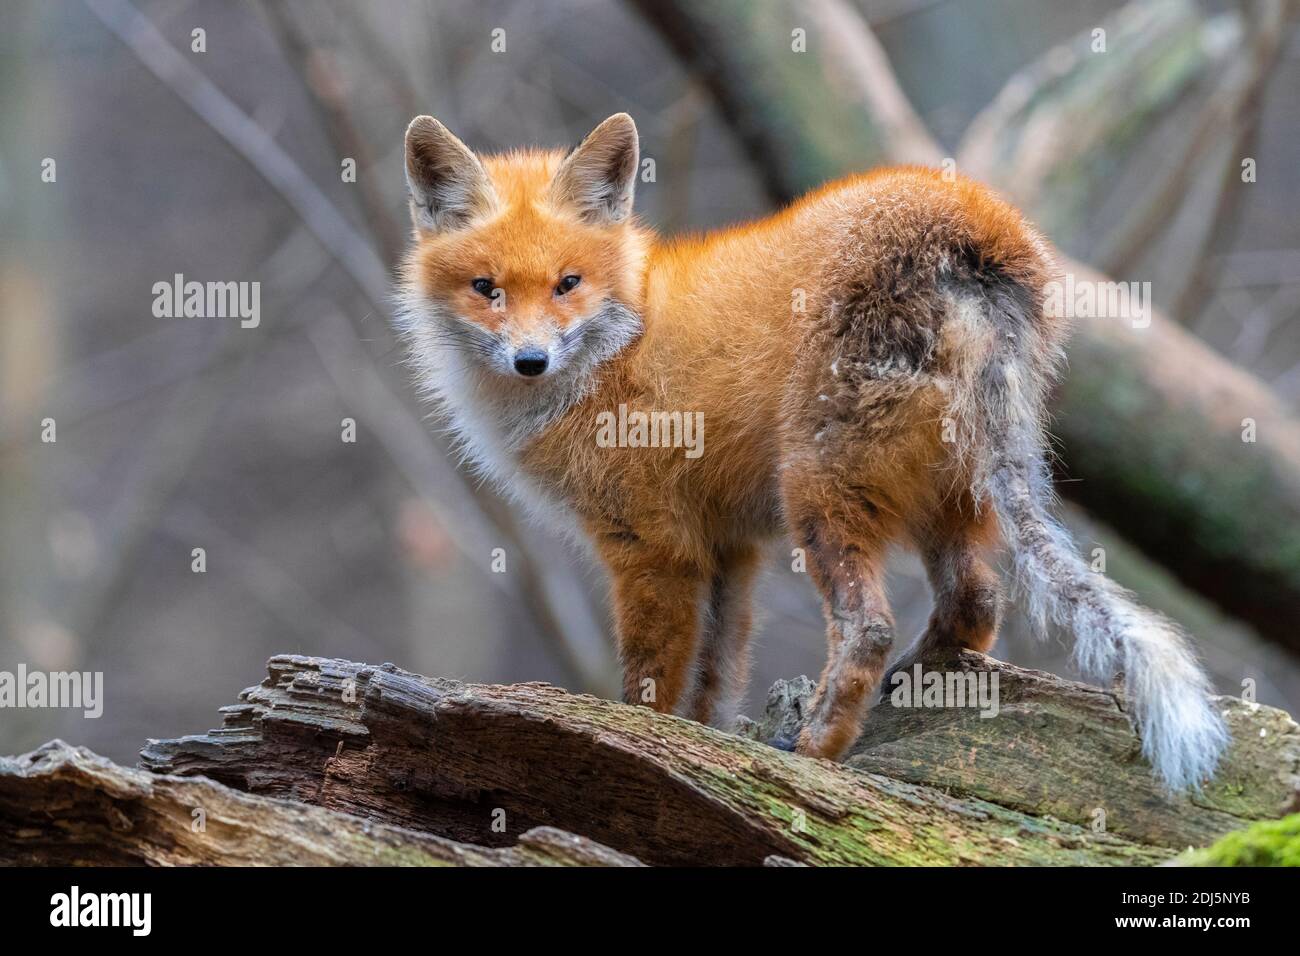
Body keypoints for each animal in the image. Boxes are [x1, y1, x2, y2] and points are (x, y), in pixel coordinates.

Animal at [395, 112, 1229, 790]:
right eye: (486, 288)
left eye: (568, 284)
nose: (530, 361)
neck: (621, 340)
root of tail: (971, 222)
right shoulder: (727, 549)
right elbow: (714, 680)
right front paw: (701, 743)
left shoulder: (653, 548)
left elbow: (652, 684)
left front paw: (640, 743)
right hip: (950, 493)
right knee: (976, 602)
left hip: (819, 489)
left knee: (869, 628)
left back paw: (819, 747)